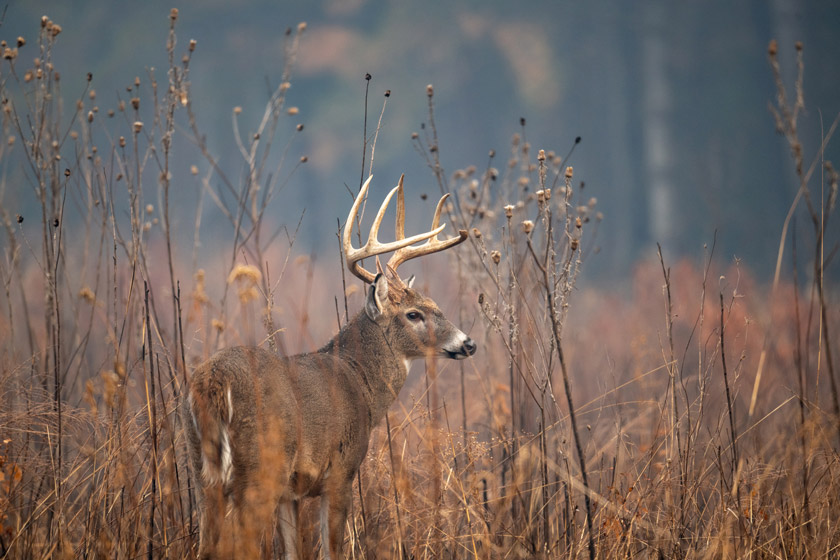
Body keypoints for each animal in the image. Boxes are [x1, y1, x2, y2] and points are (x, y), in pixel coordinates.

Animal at [185, 174, 476, 559]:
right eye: (414, 314)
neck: (360, 382)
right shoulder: (341, 470)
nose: (467, 343)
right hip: (259, 469)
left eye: (435, 303)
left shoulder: (291, 493)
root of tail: (214, 381)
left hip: (203, 474)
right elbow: (331, 549)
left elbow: (294, 552)